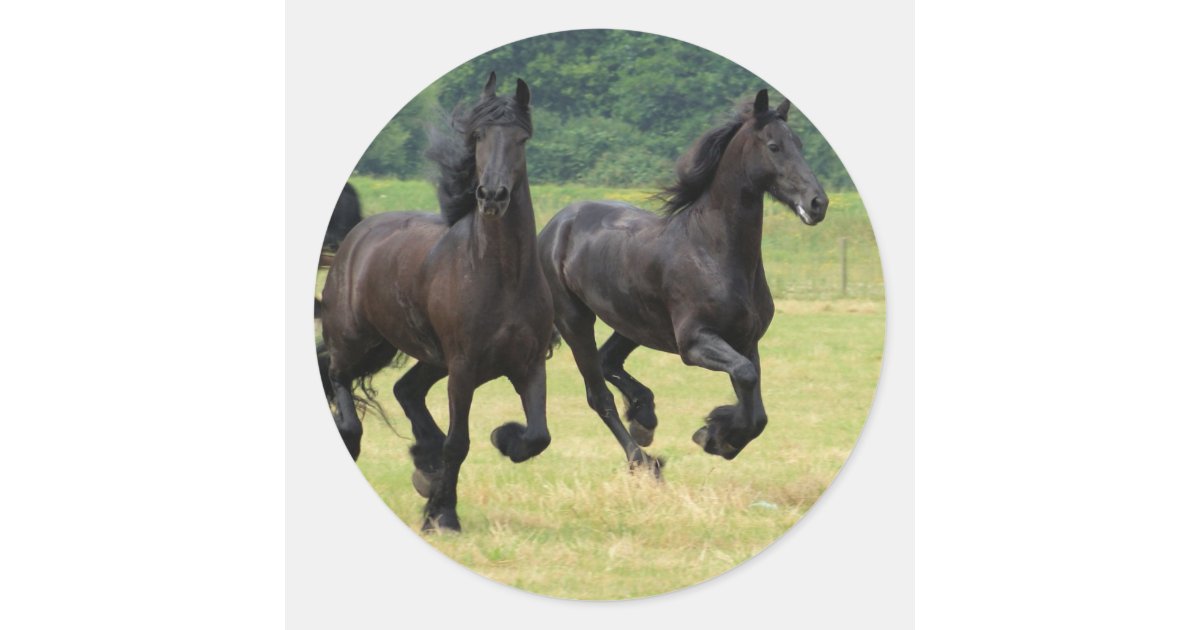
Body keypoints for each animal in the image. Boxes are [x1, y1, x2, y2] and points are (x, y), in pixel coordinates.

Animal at [319, 72, 554, 531]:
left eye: (521, 139)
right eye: (478, 136)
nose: (492, 196)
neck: (502, 277)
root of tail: (359, 234)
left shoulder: (530, 364)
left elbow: (538, 437)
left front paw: (503, 438)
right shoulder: (462, 370)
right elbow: (458, 443)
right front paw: (444, 515)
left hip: (427, 356)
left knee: (405, 389)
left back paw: (424, 466)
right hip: (356, 338)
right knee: (338, 375)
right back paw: (354, 437)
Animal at [536, 89, 828, 474]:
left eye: (799, 143)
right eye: (774, 146)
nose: (818, 203)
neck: (713, 251)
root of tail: (555, 226)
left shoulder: (746, 340)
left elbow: (756, 408)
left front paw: (718, 436)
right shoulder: (695, 342)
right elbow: (746, 377)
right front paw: (714, 434)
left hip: (632, 322)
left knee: (607, 360)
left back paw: (644, 417)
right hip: (576, 321)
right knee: (598, 394)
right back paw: (643, 460)